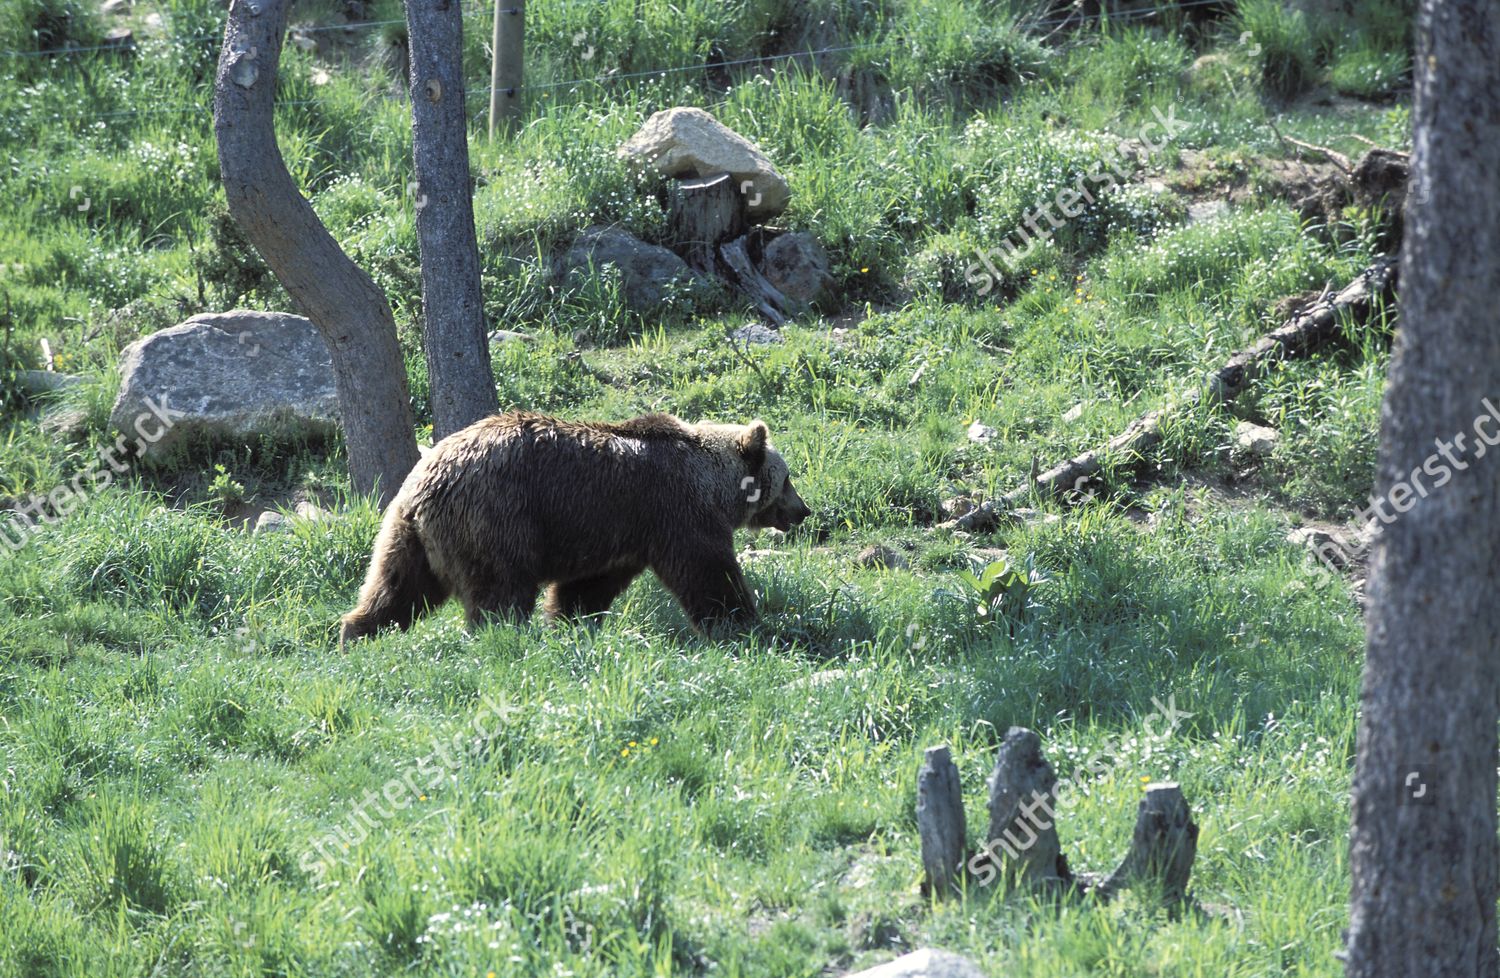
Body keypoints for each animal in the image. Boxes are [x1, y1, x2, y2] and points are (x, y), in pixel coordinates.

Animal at [339, 410, 811, 644]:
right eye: (787, 478)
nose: (803, 510)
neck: (712, 483)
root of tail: (424, 482)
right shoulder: (674, 512)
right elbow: (707, 572)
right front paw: (745, 624)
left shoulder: (621, 534)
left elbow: (587, 588)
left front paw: (571, 623)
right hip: (497, 517)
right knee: (500, 590)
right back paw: (501, 638)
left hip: (408, 536)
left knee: (396, 589)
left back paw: (358, 635)